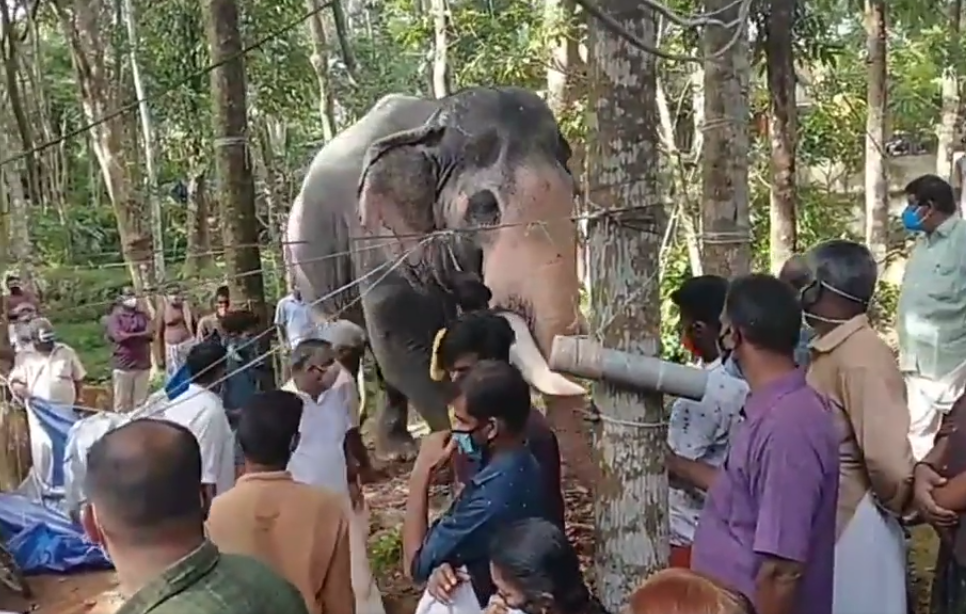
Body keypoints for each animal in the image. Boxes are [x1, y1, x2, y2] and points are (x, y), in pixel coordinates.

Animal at [285, 86, 591, 465]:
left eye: (575, 194)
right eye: (484, 207)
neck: (433, 124)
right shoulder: (376, 241)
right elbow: (406, 346)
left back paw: (397, 450)